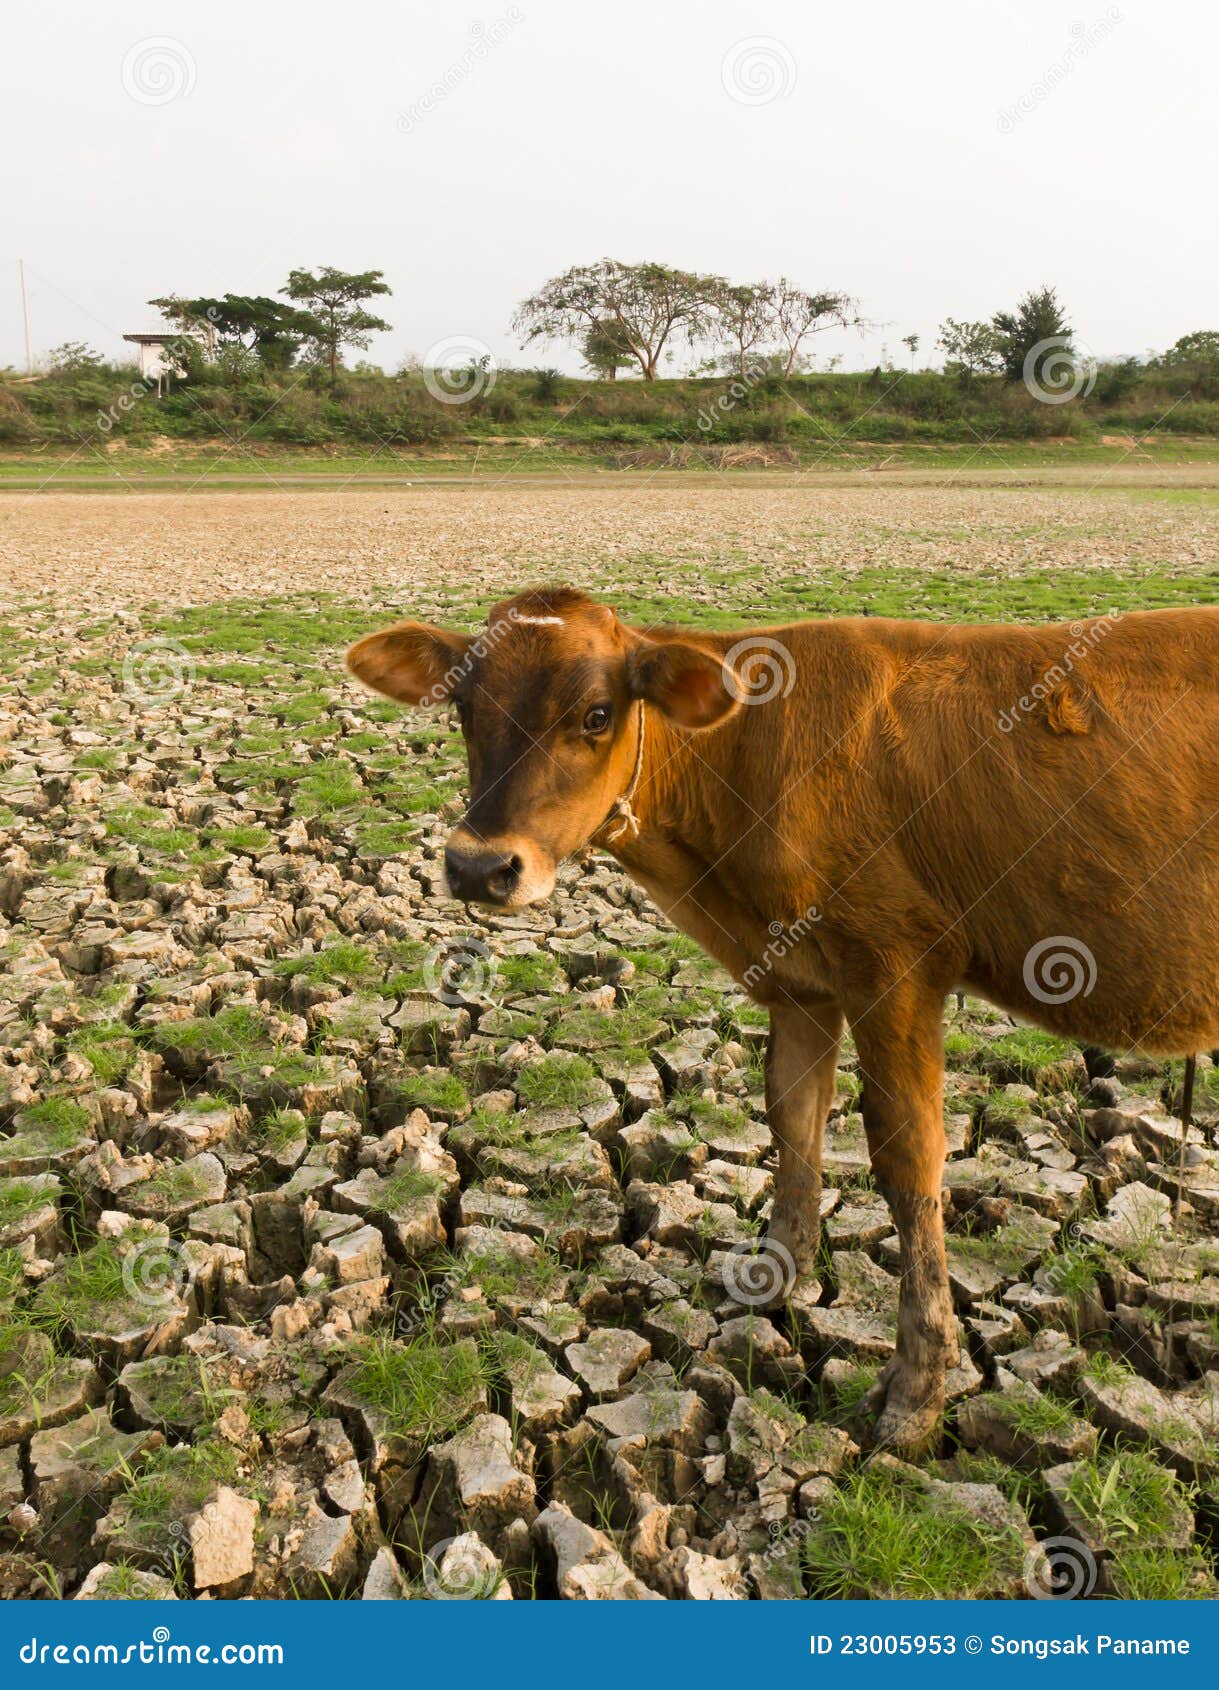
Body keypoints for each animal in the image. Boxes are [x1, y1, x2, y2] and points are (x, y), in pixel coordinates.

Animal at [347, 585, 1219, 1453]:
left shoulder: (892, 963)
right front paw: (777, 1273)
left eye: (595, 714)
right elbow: (792, 1119)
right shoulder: (803, 985)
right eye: (462, 705)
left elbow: (908, 1164)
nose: (476, 867)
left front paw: (917, 1386)